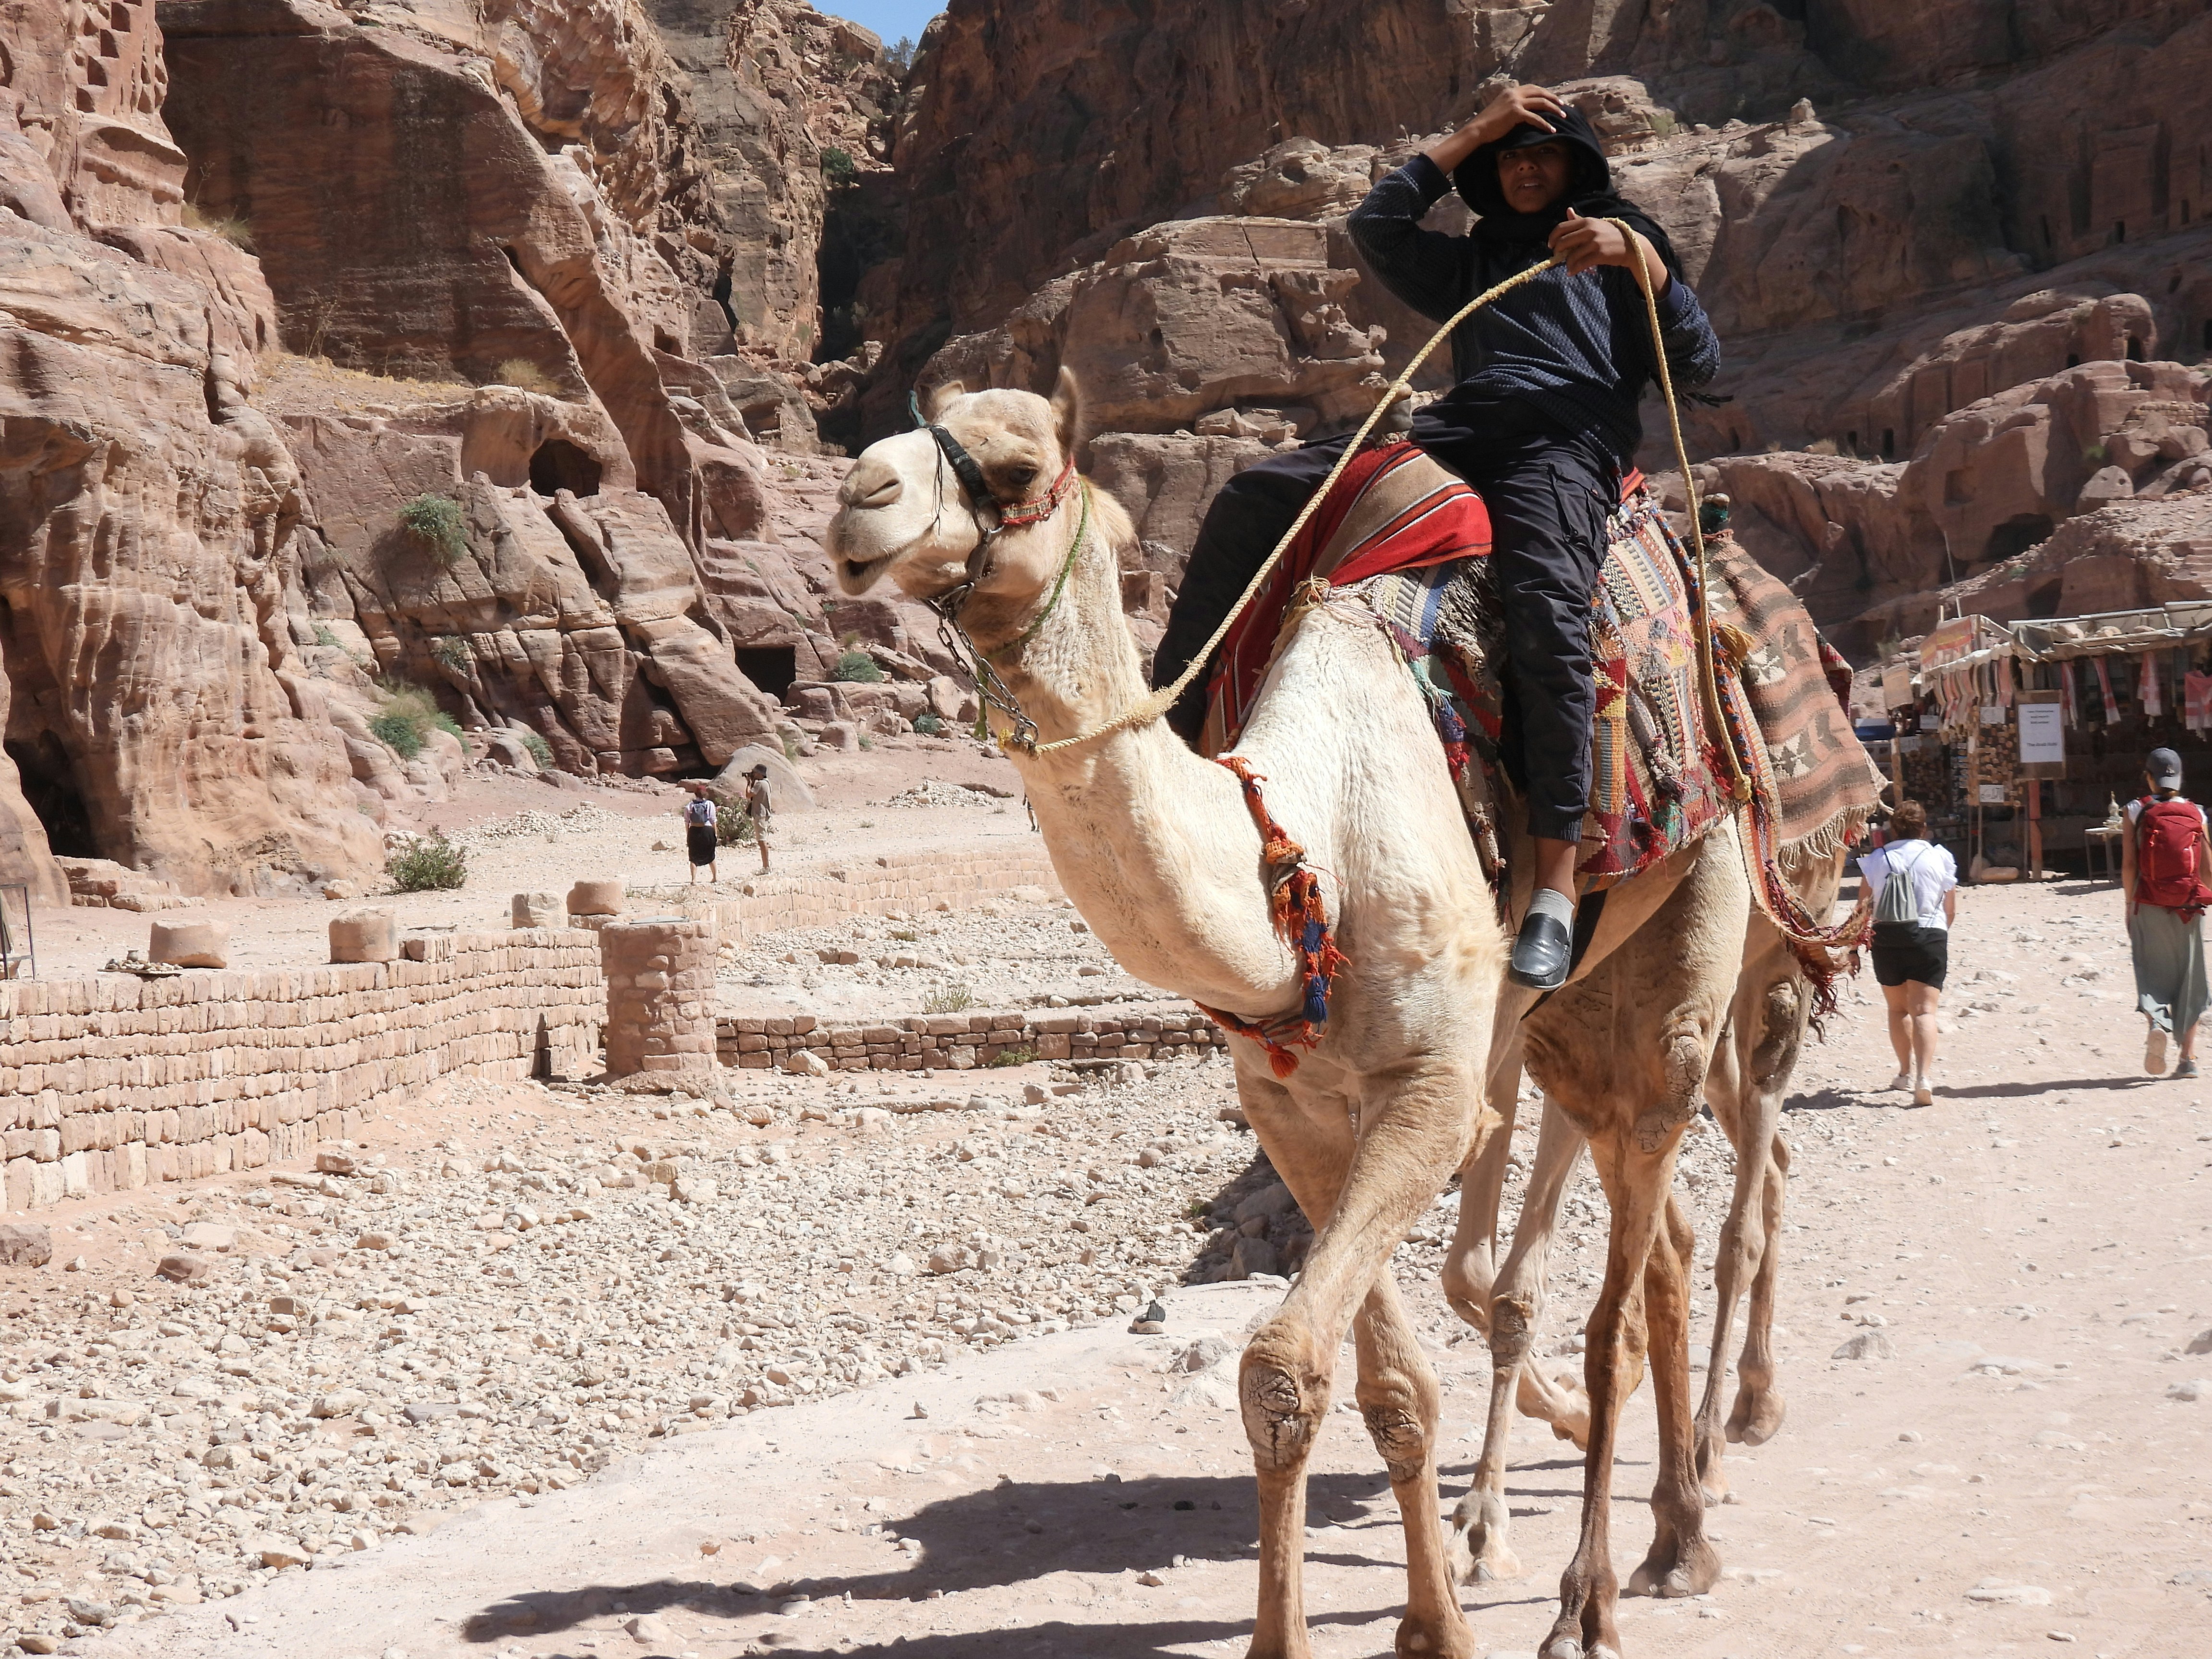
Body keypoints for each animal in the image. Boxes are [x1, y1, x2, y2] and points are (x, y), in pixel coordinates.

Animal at [827, 373, 1752, 1659]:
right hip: (1567, 1021)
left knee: (1625, 1271)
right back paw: (1674, 1529)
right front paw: (1426, 1621)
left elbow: (1285, 1357)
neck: (1317, 846)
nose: (858, 496)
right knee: (1652, 1235)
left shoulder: (1428, 1091)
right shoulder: (1298, 1111)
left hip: (1703, 898)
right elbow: (1369, 1385)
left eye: (1015, 469)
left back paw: (1600, 1592)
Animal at [1441, 850, 1846, 1583]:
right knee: (1769, 1161)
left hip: (1769, 959)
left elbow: (1513, 1280)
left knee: (1746, 1207)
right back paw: (1749, 1405)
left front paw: (1489, 1519)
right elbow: (1471, 1271)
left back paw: (1712, 1442)